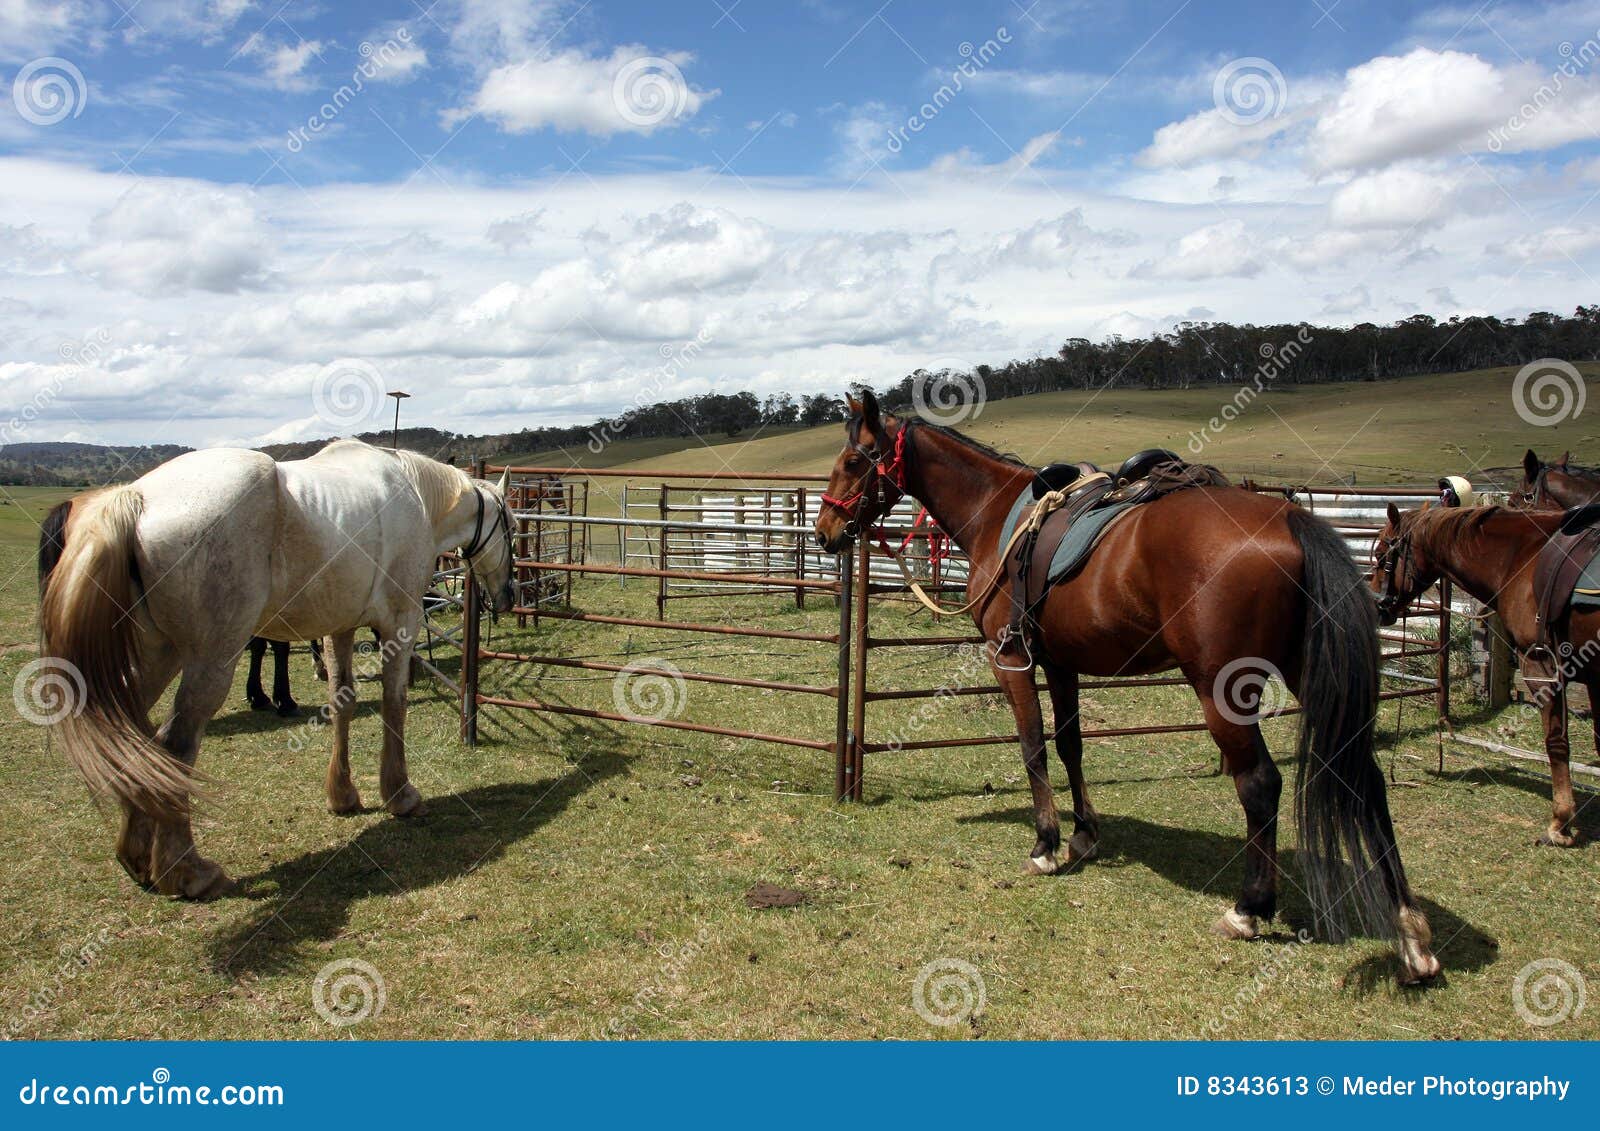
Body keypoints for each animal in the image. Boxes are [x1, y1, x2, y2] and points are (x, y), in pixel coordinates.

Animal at [36, 439, 516, 899]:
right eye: (511, 526)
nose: (508, 596)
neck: (414, 491)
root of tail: (136, 498)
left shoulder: (340, 628)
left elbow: (343, 705)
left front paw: (343, 795)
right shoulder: (401, 624)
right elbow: (394, 705)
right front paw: (401, 795)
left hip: (157, 655)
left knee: (138, 742)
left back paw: (136, 857)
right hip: (209, 660)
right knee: (175, 745)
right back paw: (188, 873)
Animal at [812, 391, 1440, 985]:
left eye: (852, 461)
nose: (825, 532)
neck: (997, 517)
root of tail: (1290, 521)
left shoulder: (1011, 660)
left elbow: (1033, 747)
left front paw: (1045, 845)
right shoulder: (1060, 664)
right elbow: (1070, 745)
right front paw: (1084, 835)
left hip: (1222, 690)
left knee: (1260, 783)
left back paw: (1250, 909)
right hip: (1307, 676)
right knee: (1362, 778)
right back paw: (1410, 934)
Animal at [1372, 501, 1592, 847]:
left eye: (1382, 554)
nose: (1375, 603)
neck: (1521, 556)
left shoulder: (1540, 665)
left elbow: (1556, 741)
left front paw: (1560, 824)